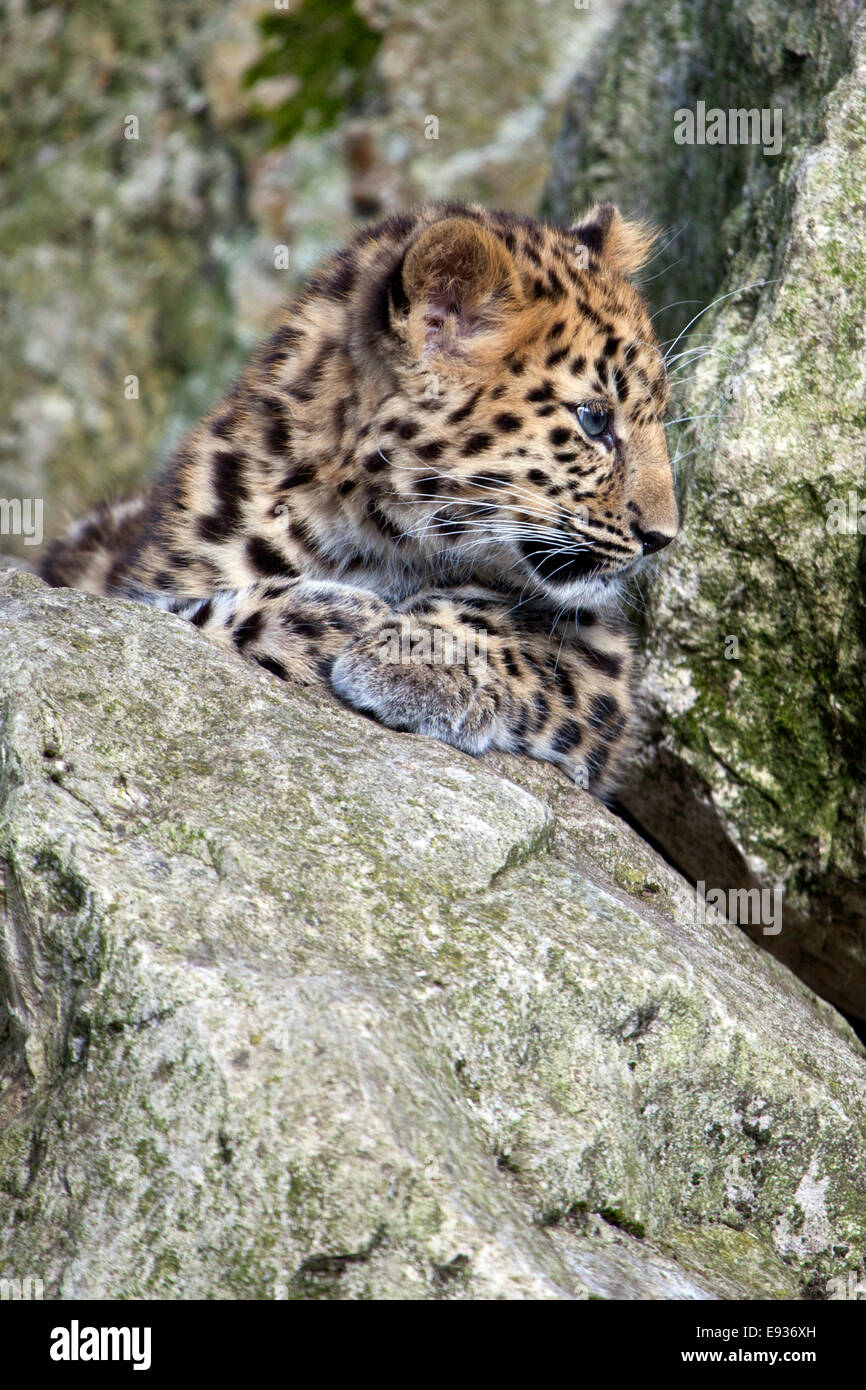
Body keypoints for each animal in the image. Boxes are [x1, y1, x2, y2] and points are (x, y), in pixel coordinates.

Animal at [39, 200, 678, 797]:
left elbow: (512, 624)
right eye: (594, 420)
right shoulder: (146, 588)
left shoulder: (602, 650)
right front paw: (339, 620)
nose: (663, 539)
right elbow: (188, 619)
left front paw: (417, 655)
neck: (364, 524)